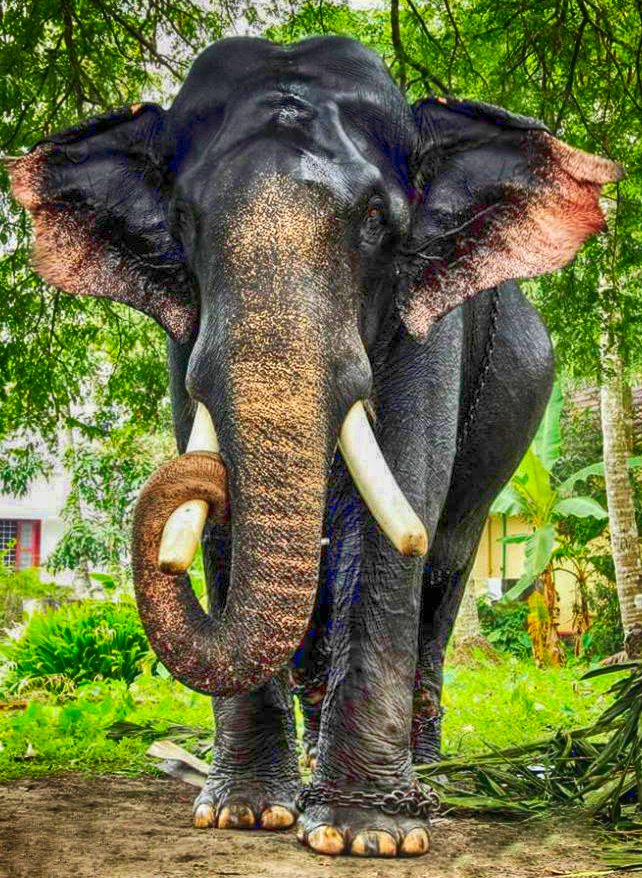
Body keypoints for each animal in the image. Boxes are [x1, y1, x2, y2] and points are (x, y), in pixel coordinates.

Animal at [9, 35, 621, 858]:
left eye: (375, 217)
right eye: (184, 218)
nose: (190, 476)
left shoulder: (424, 320)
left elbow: (399, 514)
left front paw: (368, 836)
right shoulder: (185, 328)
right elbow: (225, 531)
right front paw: (241, 813)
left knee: (444, 571)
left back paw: (431, 781)